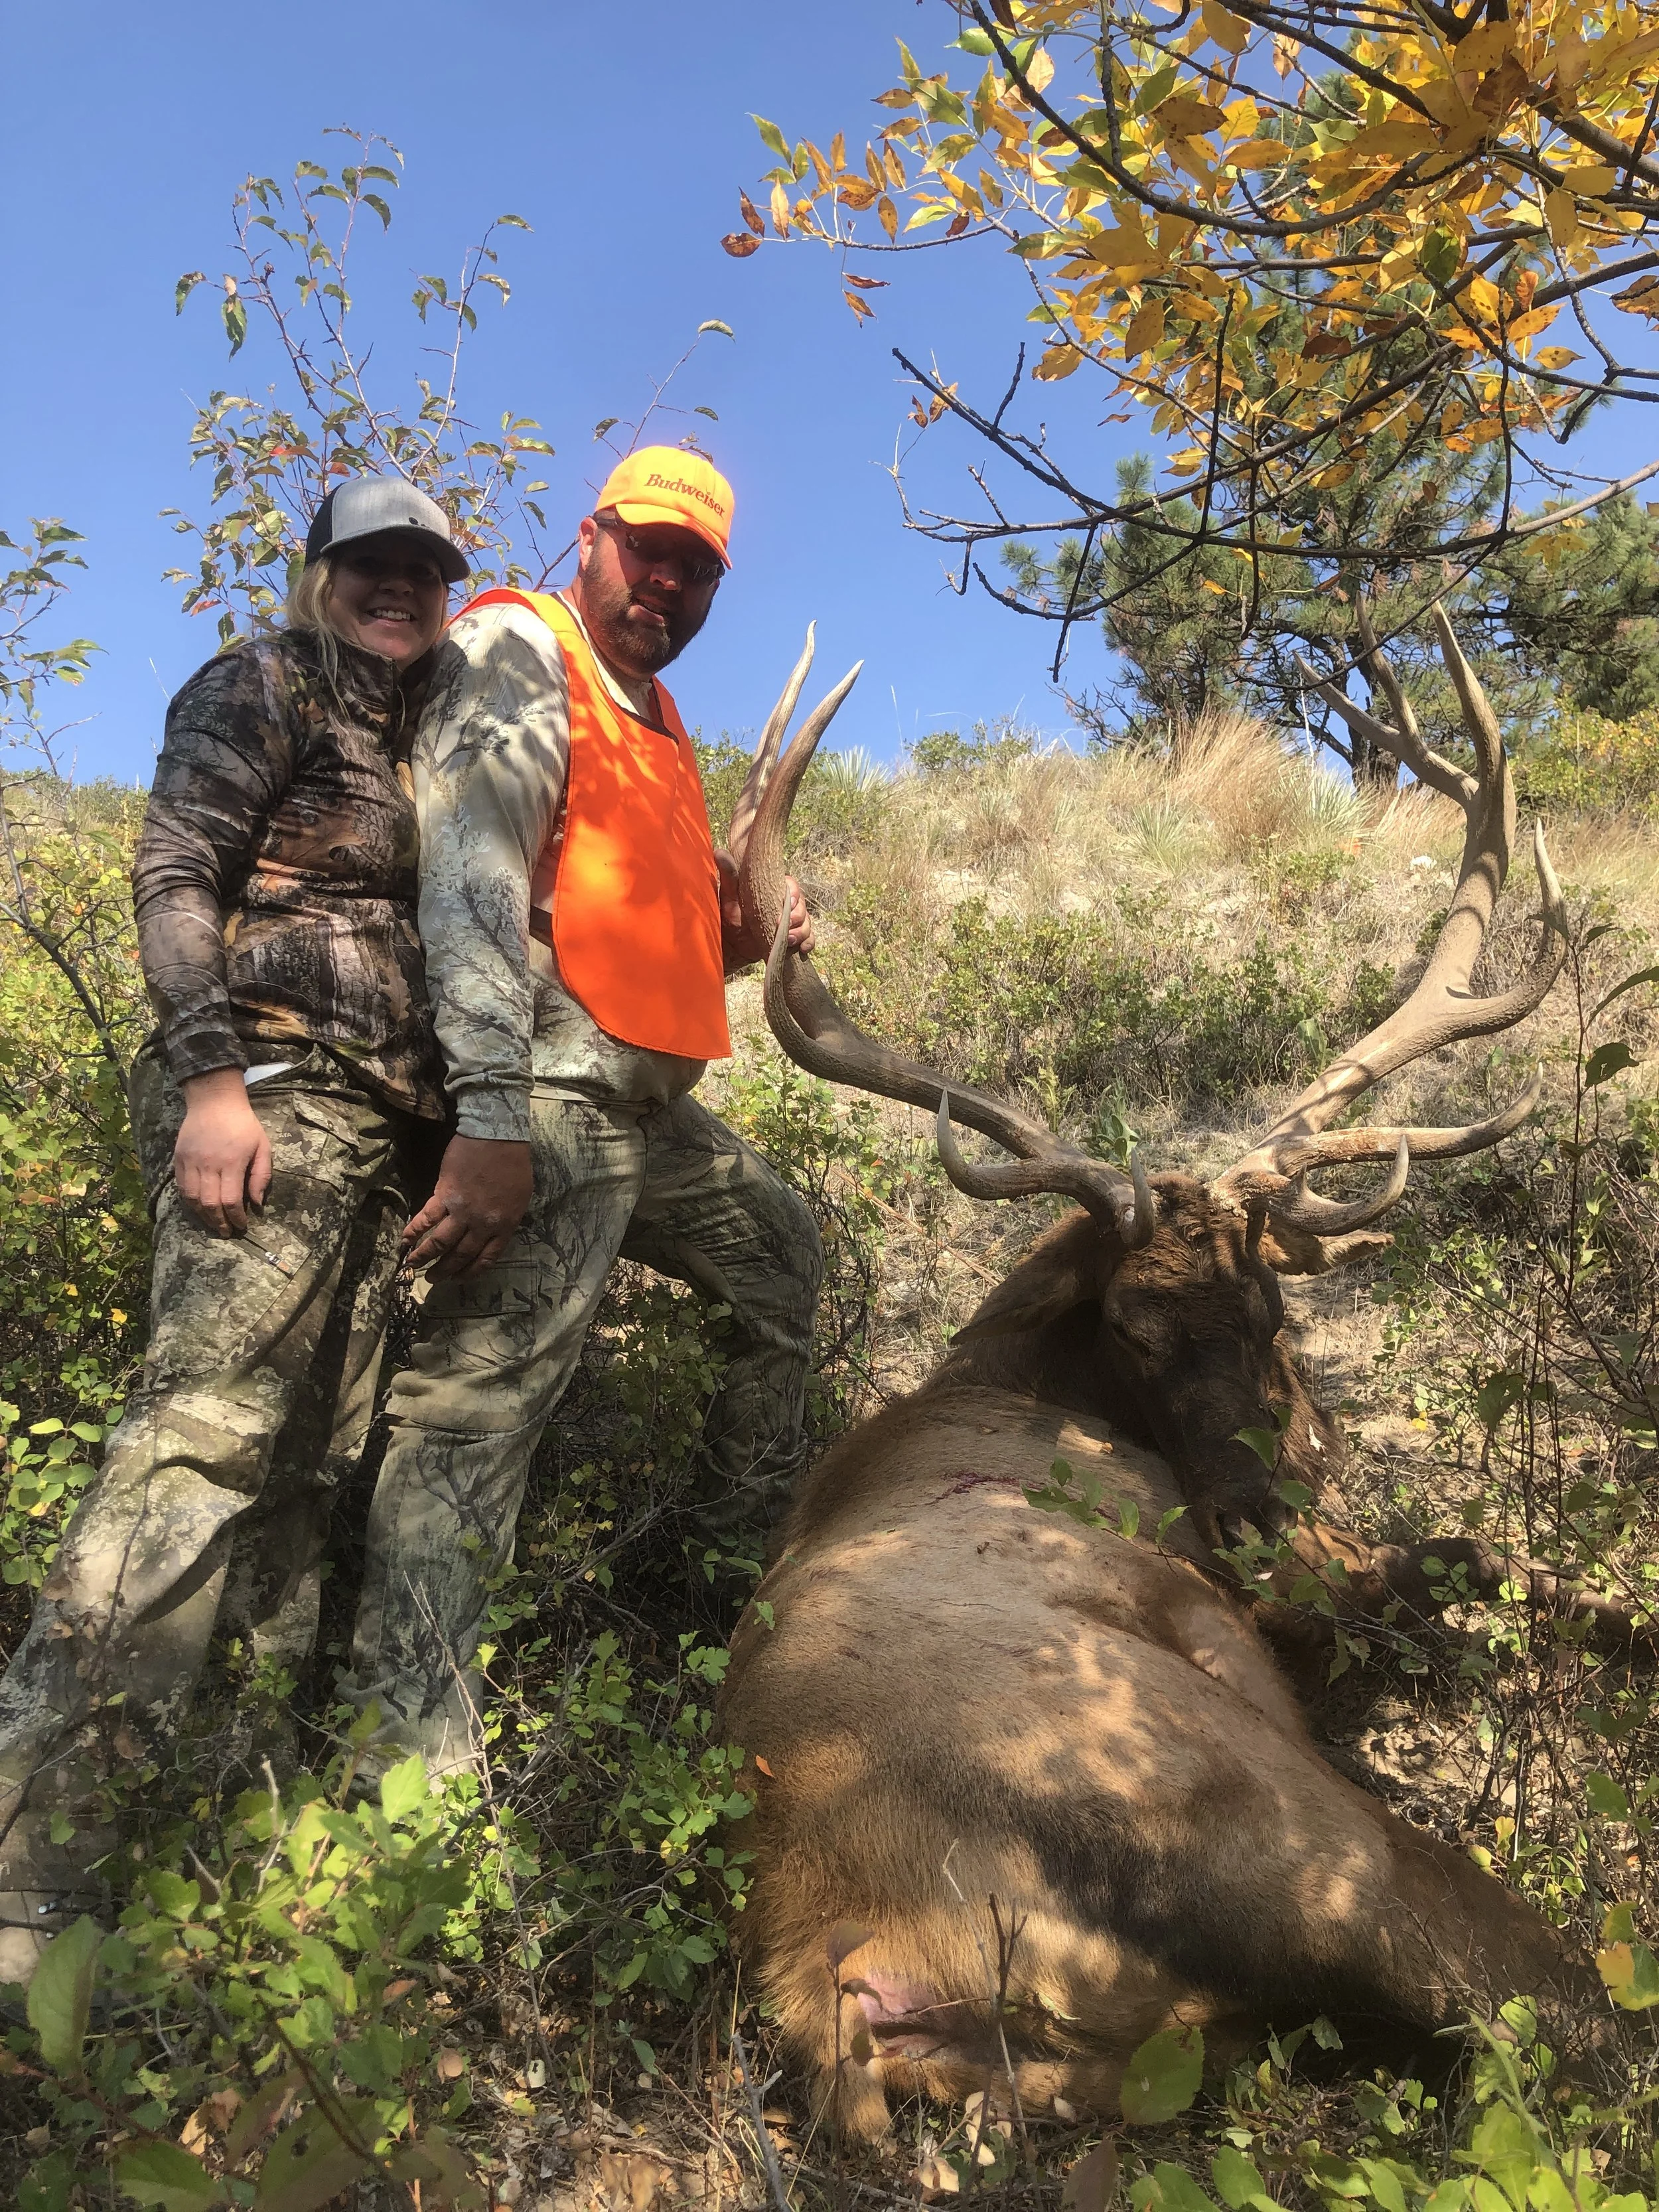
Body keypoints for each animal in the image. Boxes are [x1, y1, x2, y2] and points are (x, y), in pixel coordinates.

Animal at [714, 609, 1625, 2142]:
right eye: (1137, 1323)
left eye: (1271, 1303)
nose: (1265, 1503)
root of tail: (845, 1959)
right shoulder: (1303, 1595)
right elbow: (1481, 1551)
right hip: (1285, 1823)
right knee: (1566, 2016)